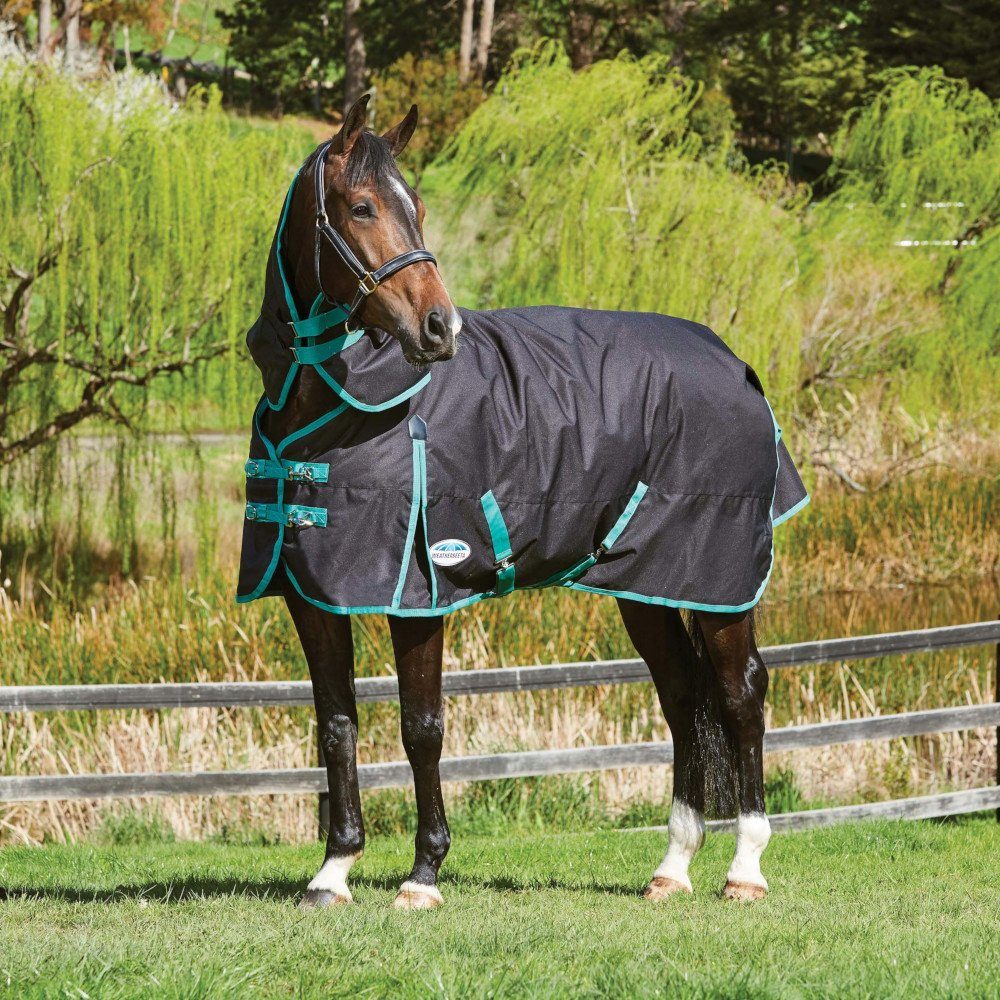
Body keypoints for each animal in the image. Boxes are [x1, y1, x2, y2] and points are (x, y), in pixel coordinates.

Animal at [238, 96, 808, 910]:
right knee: (681, 696)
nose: (440, 328)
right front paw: (333, 871)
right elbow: (337, 724)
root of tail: (736, 365)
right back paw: (672, 867)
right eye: (362, 206)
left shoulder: (421, 591)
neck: (343, 408)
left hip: (720, 583)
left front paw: (423, 875)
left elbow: (421, 726)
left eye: (418, 206)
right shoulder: (312, 594)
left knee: (739, 693)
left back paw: (745, 868)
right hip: (647, 583)